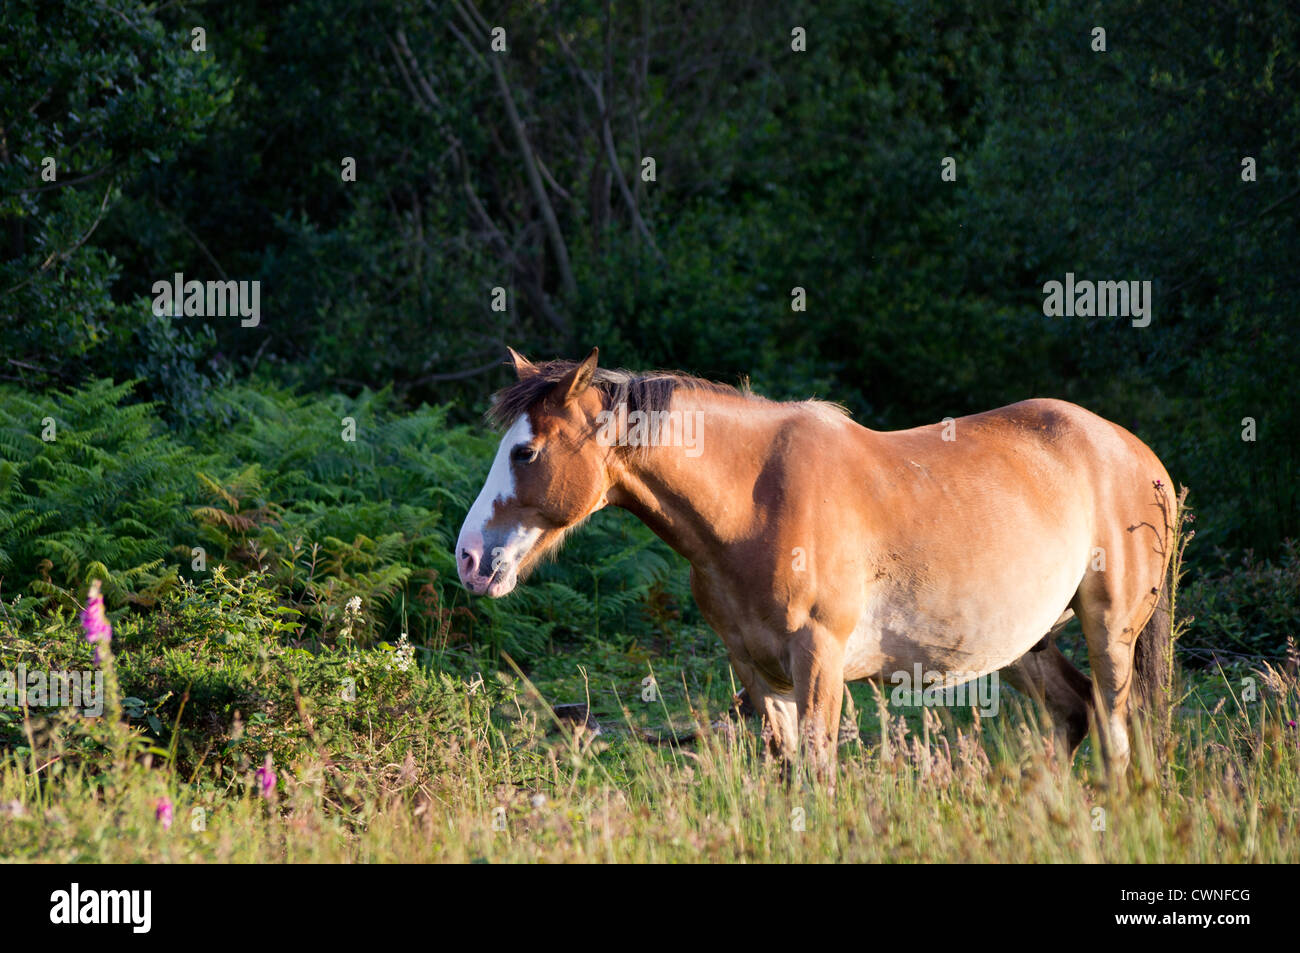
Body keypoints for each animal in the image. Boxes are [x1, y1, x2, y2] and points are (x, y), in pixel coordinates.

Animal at [455, 347, 1176, 776]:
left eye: (525, 452)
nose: (470, 559)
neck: (755, 503)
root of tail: (1136, 455)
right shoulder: (758, 670)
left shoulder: (819, 658)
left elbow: (818, 775)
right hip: (1028, 642)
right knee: (1076, 713)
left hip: (1109, 632)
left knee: (1115, 732)